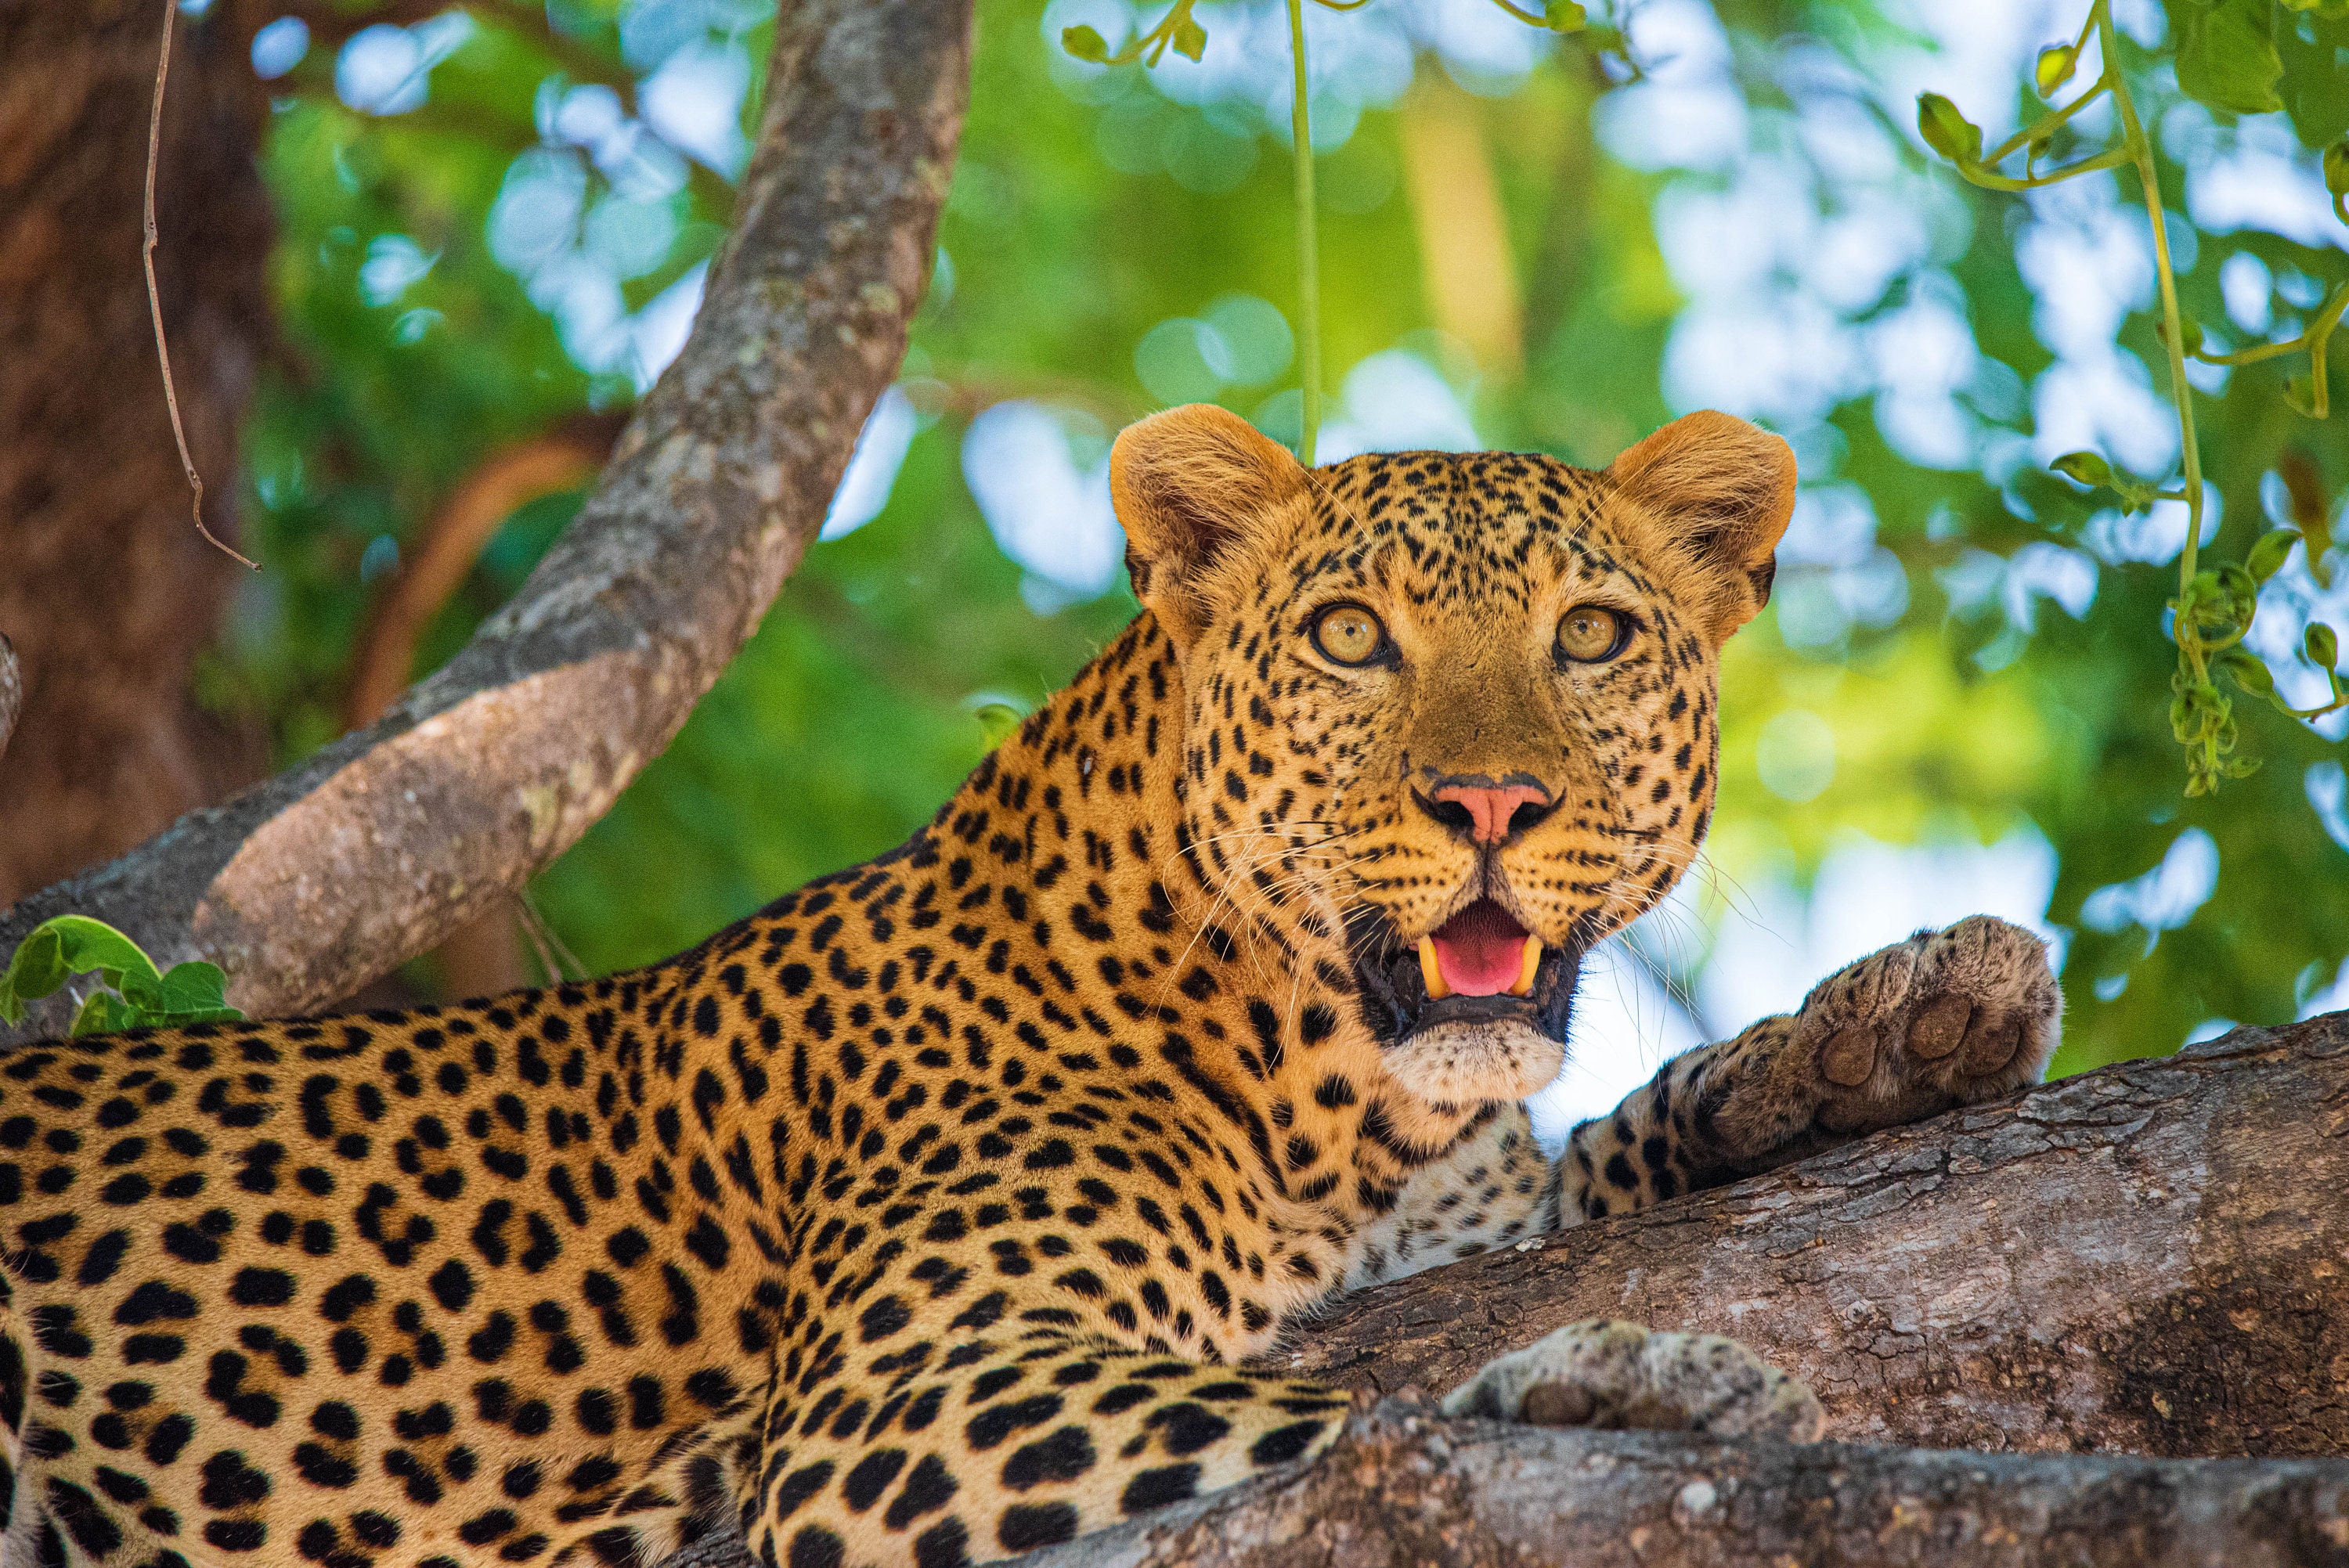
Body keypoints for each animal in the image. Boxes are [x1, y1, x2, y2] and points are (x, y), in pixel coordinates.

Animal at [0, 403, 2060, 1568]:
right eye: (1349, 636)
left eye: (1593, 636)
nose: (1493, 801)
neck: (1338, 1100)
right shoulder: (903, 1394)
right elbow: (1345, 1420)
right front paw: (1637, 1386)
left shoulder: (1459, 1205)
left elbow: (1611, 1148)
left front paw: (1892, 1025)